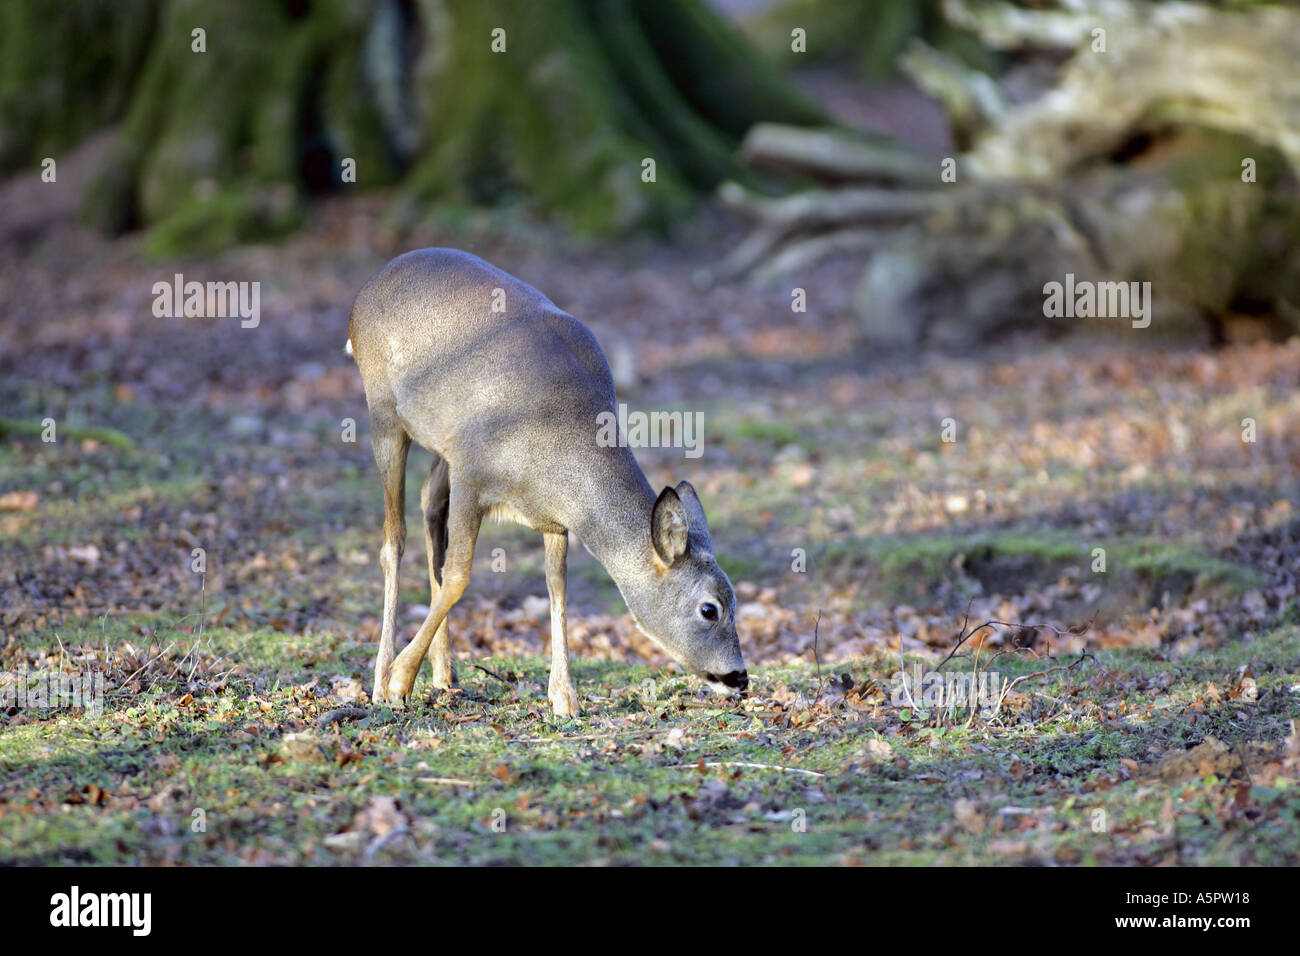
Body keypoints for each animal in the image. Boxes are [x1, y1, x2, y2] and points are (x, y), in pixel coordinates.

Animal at [346, 248, 747, 716]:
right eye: (709, 609)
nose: (740, 676)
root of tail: (368, 288)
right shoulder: (473, 472)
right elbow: (460, 576)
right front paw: (399, 681)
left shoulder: (552, 516)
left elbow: (557, 585)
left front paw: (564, 697)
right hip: (384, 409)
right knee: (393, 539)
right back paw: (381, 679)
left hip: (442, 443)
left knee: (430, 503)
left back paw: (445, 673)